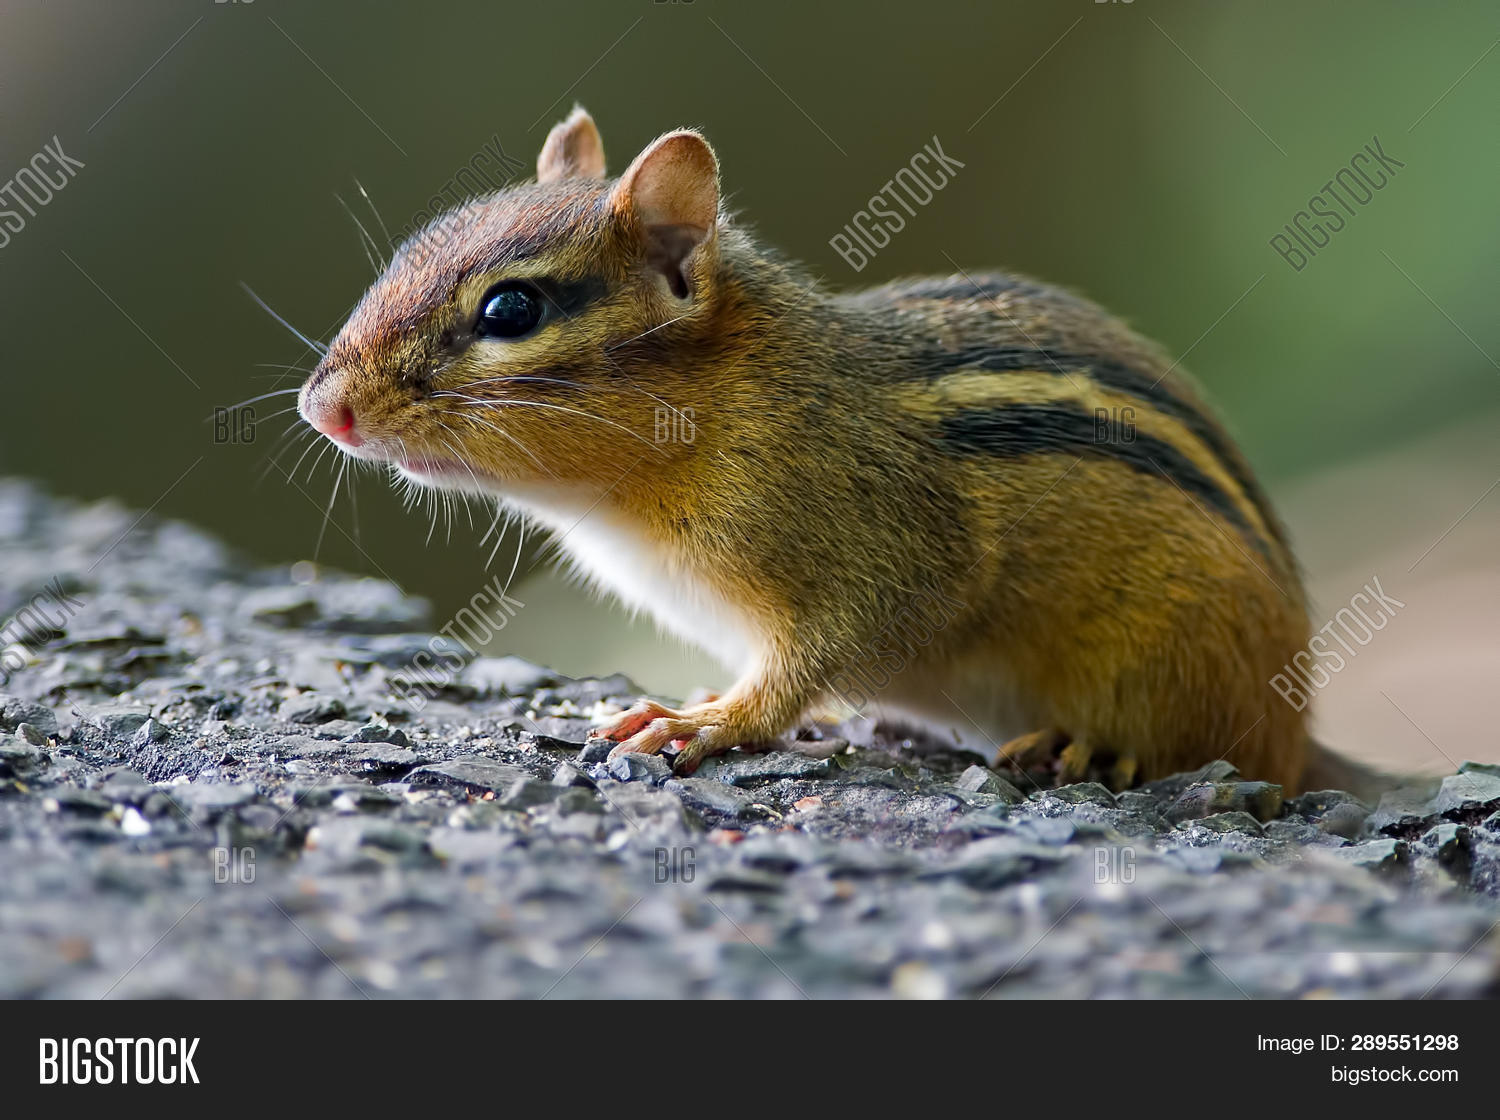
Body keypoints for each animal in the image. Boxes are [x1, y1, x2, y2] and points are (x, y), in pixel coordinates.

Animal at [297, 106, 1383, 796]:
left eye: (511, 310)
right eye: (409, 251)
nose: (323, 408)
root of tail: (1298, 734)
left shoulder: (880, 556)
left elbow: (814, 662)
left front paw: (710, 723)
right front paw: (707, 696)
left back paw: (1089, 751)